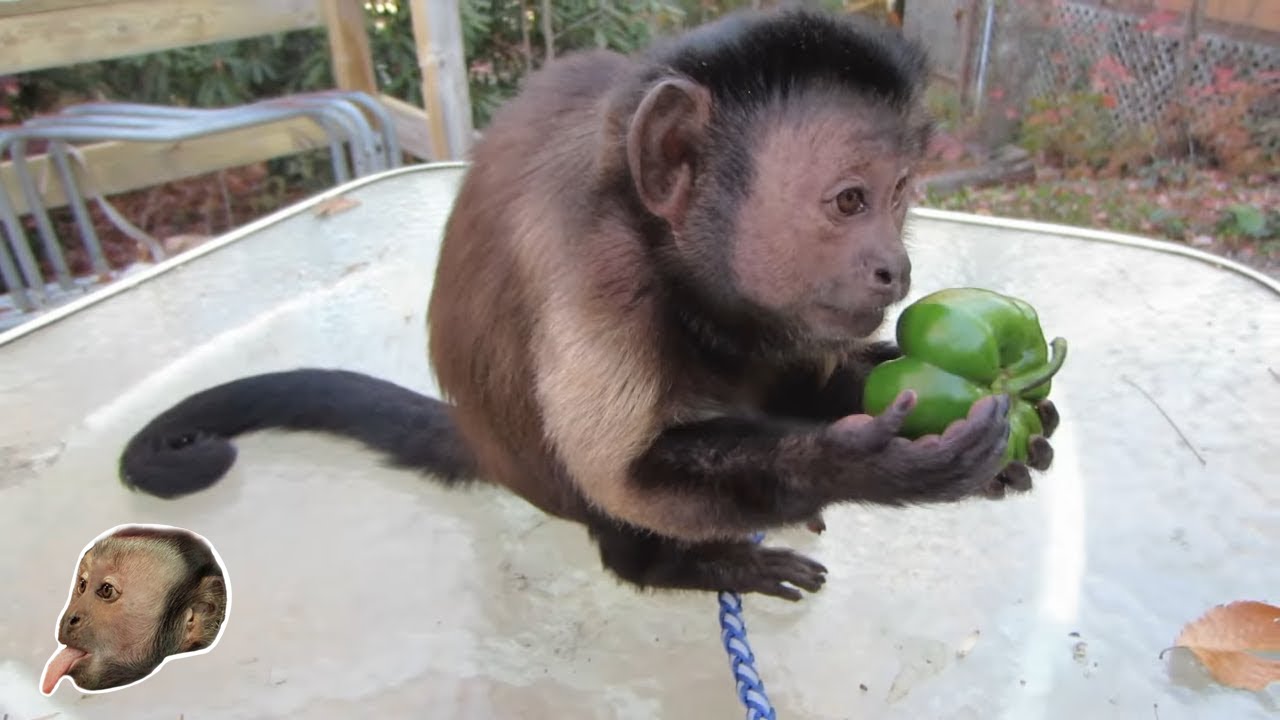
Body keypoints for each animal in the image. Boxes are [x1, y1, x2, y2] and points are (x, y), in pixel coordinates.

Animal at [118, 8, 1059, 602]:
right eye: (849, 202)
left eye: (902, 195)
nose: (896, 267)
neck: (671, 255)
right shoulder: (597, 268)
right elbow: (626, 478)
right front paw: (864, 466)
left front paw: (1010, 426)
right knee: (603, 501)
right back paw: (678, 565)